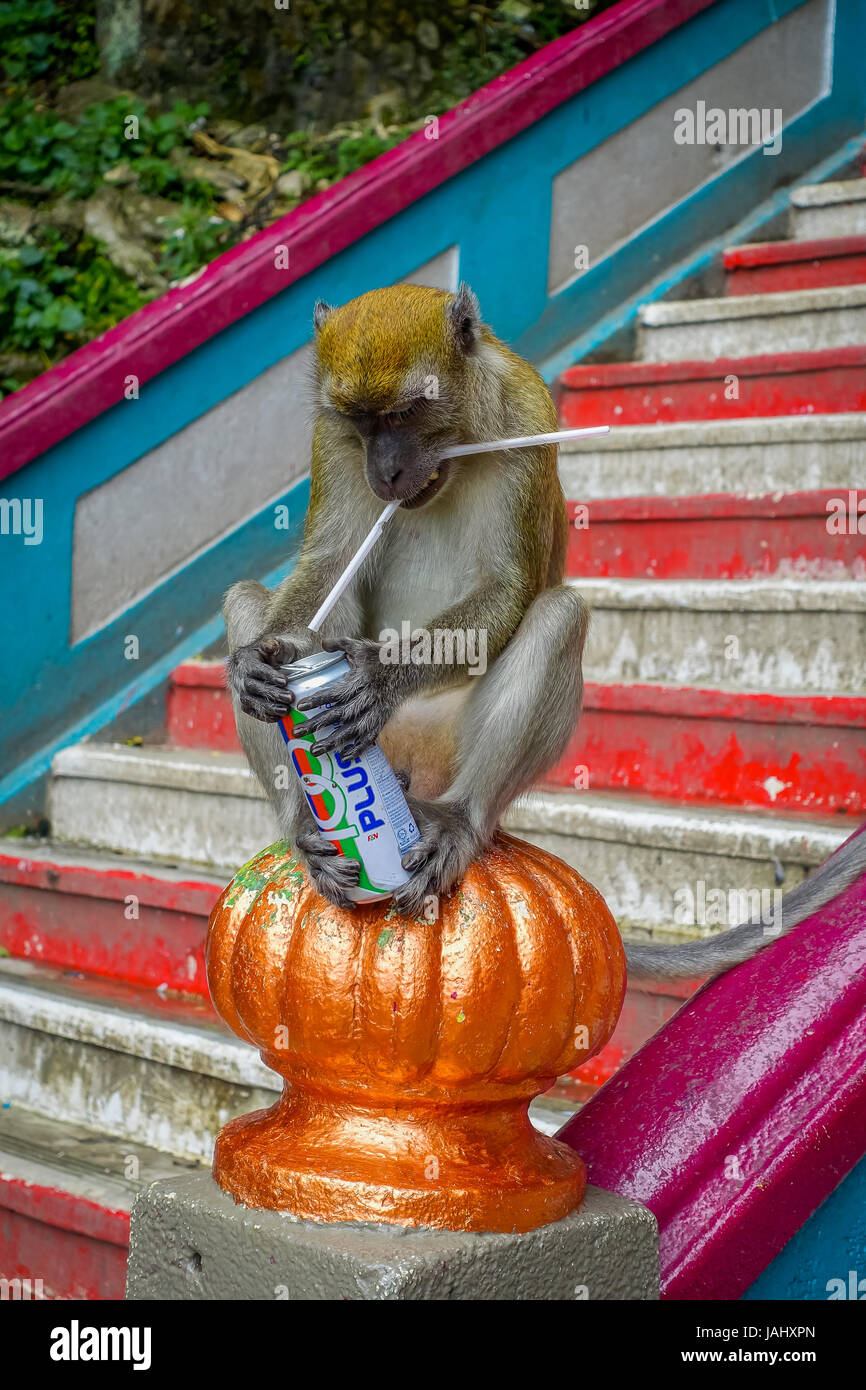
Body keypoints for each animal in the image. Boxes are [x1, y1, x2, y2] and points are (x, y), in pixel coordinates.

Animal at [224, 281, 866, 979]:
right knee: (244, 597)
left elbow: (509, 589)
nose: (385, 472)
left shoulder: (528, 417)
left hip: (445, 751)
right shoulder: (332, 442)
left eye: (405, 415)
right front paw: (262, 664)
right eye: (363, 423)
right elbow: (330, 564)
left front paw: (379, 676)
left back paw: (458, 820)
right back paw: (306, 833)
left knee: (560, 615)